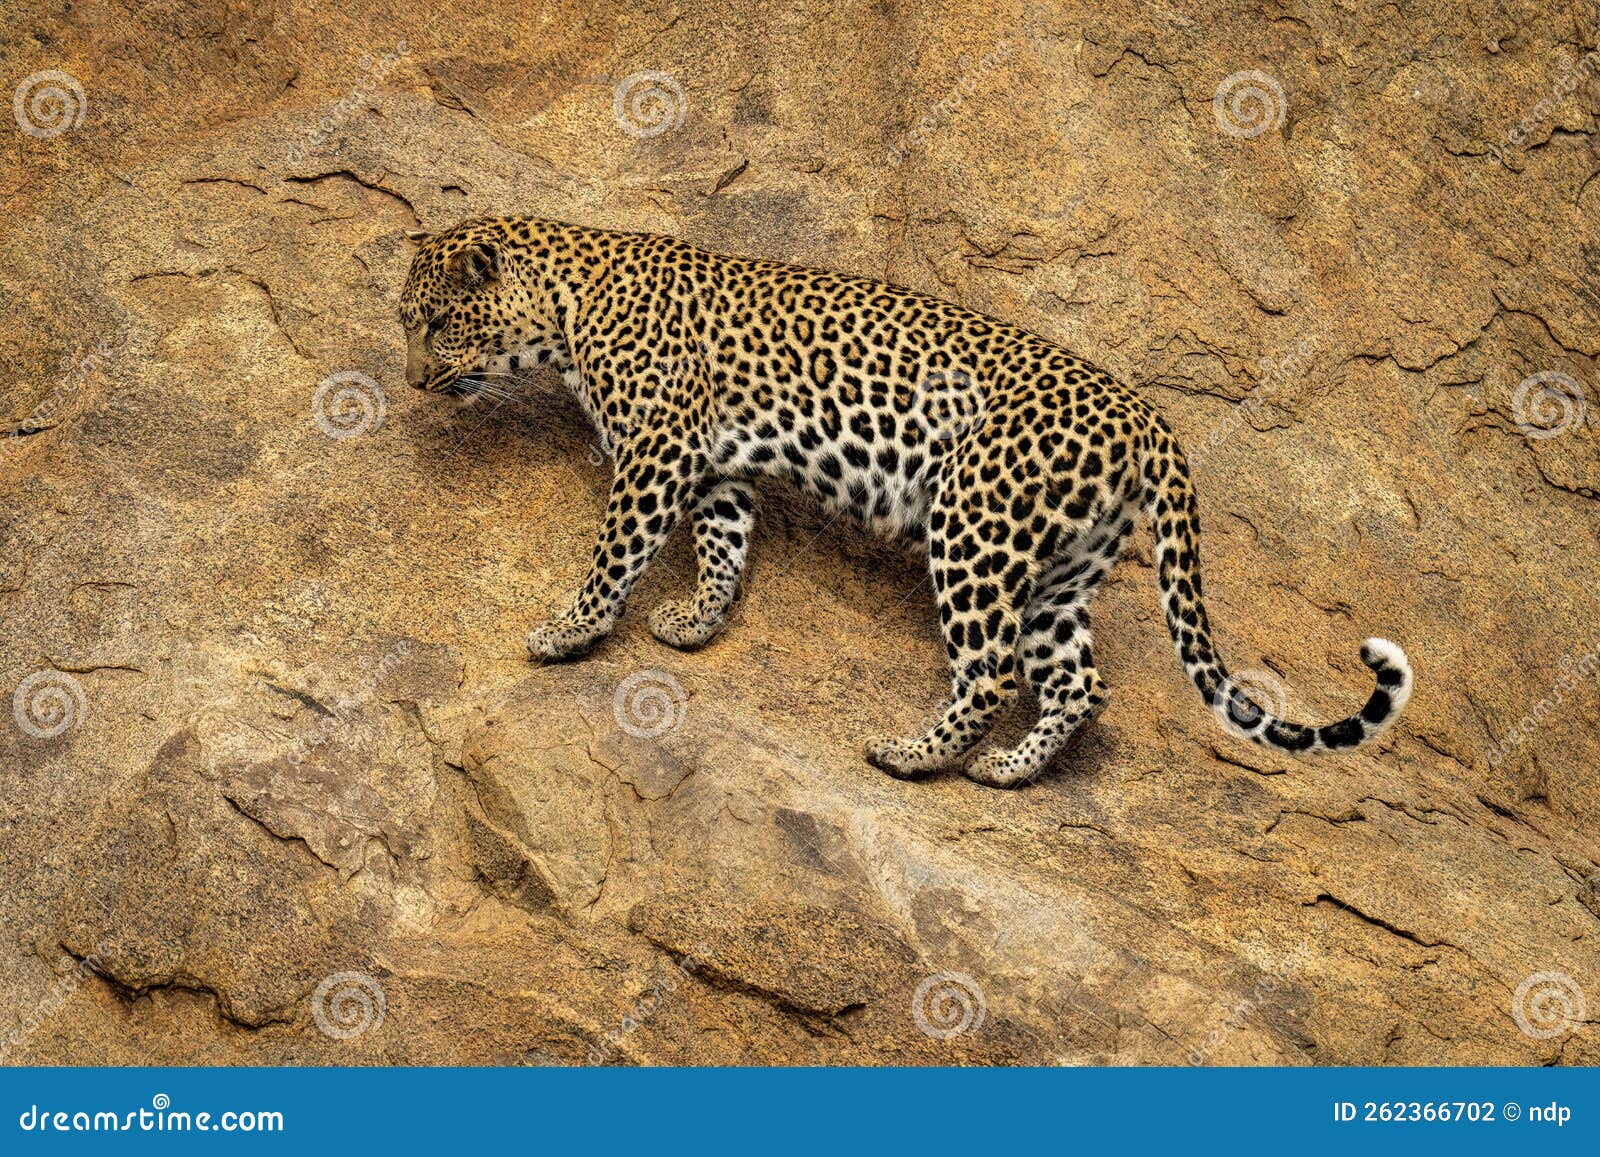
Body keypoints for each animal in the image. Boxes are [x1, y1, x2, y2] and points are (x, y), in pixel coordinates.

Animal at [398, 216, 1413, 788]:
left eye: (435, 322)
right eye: (408, 323)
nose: (408, 381)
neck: (566, 310)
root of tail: (1148, 419)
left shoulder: (657, 451)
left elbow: (615, 551)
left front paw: (568, 631)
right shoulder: (712, 461)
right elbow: (723, 542)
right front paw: (698, 620)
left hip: (974, 525)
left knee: (991, 671)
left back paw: (914, 756)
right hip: (1059, 567)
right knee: (1078, 682)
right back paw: (1006, 772)